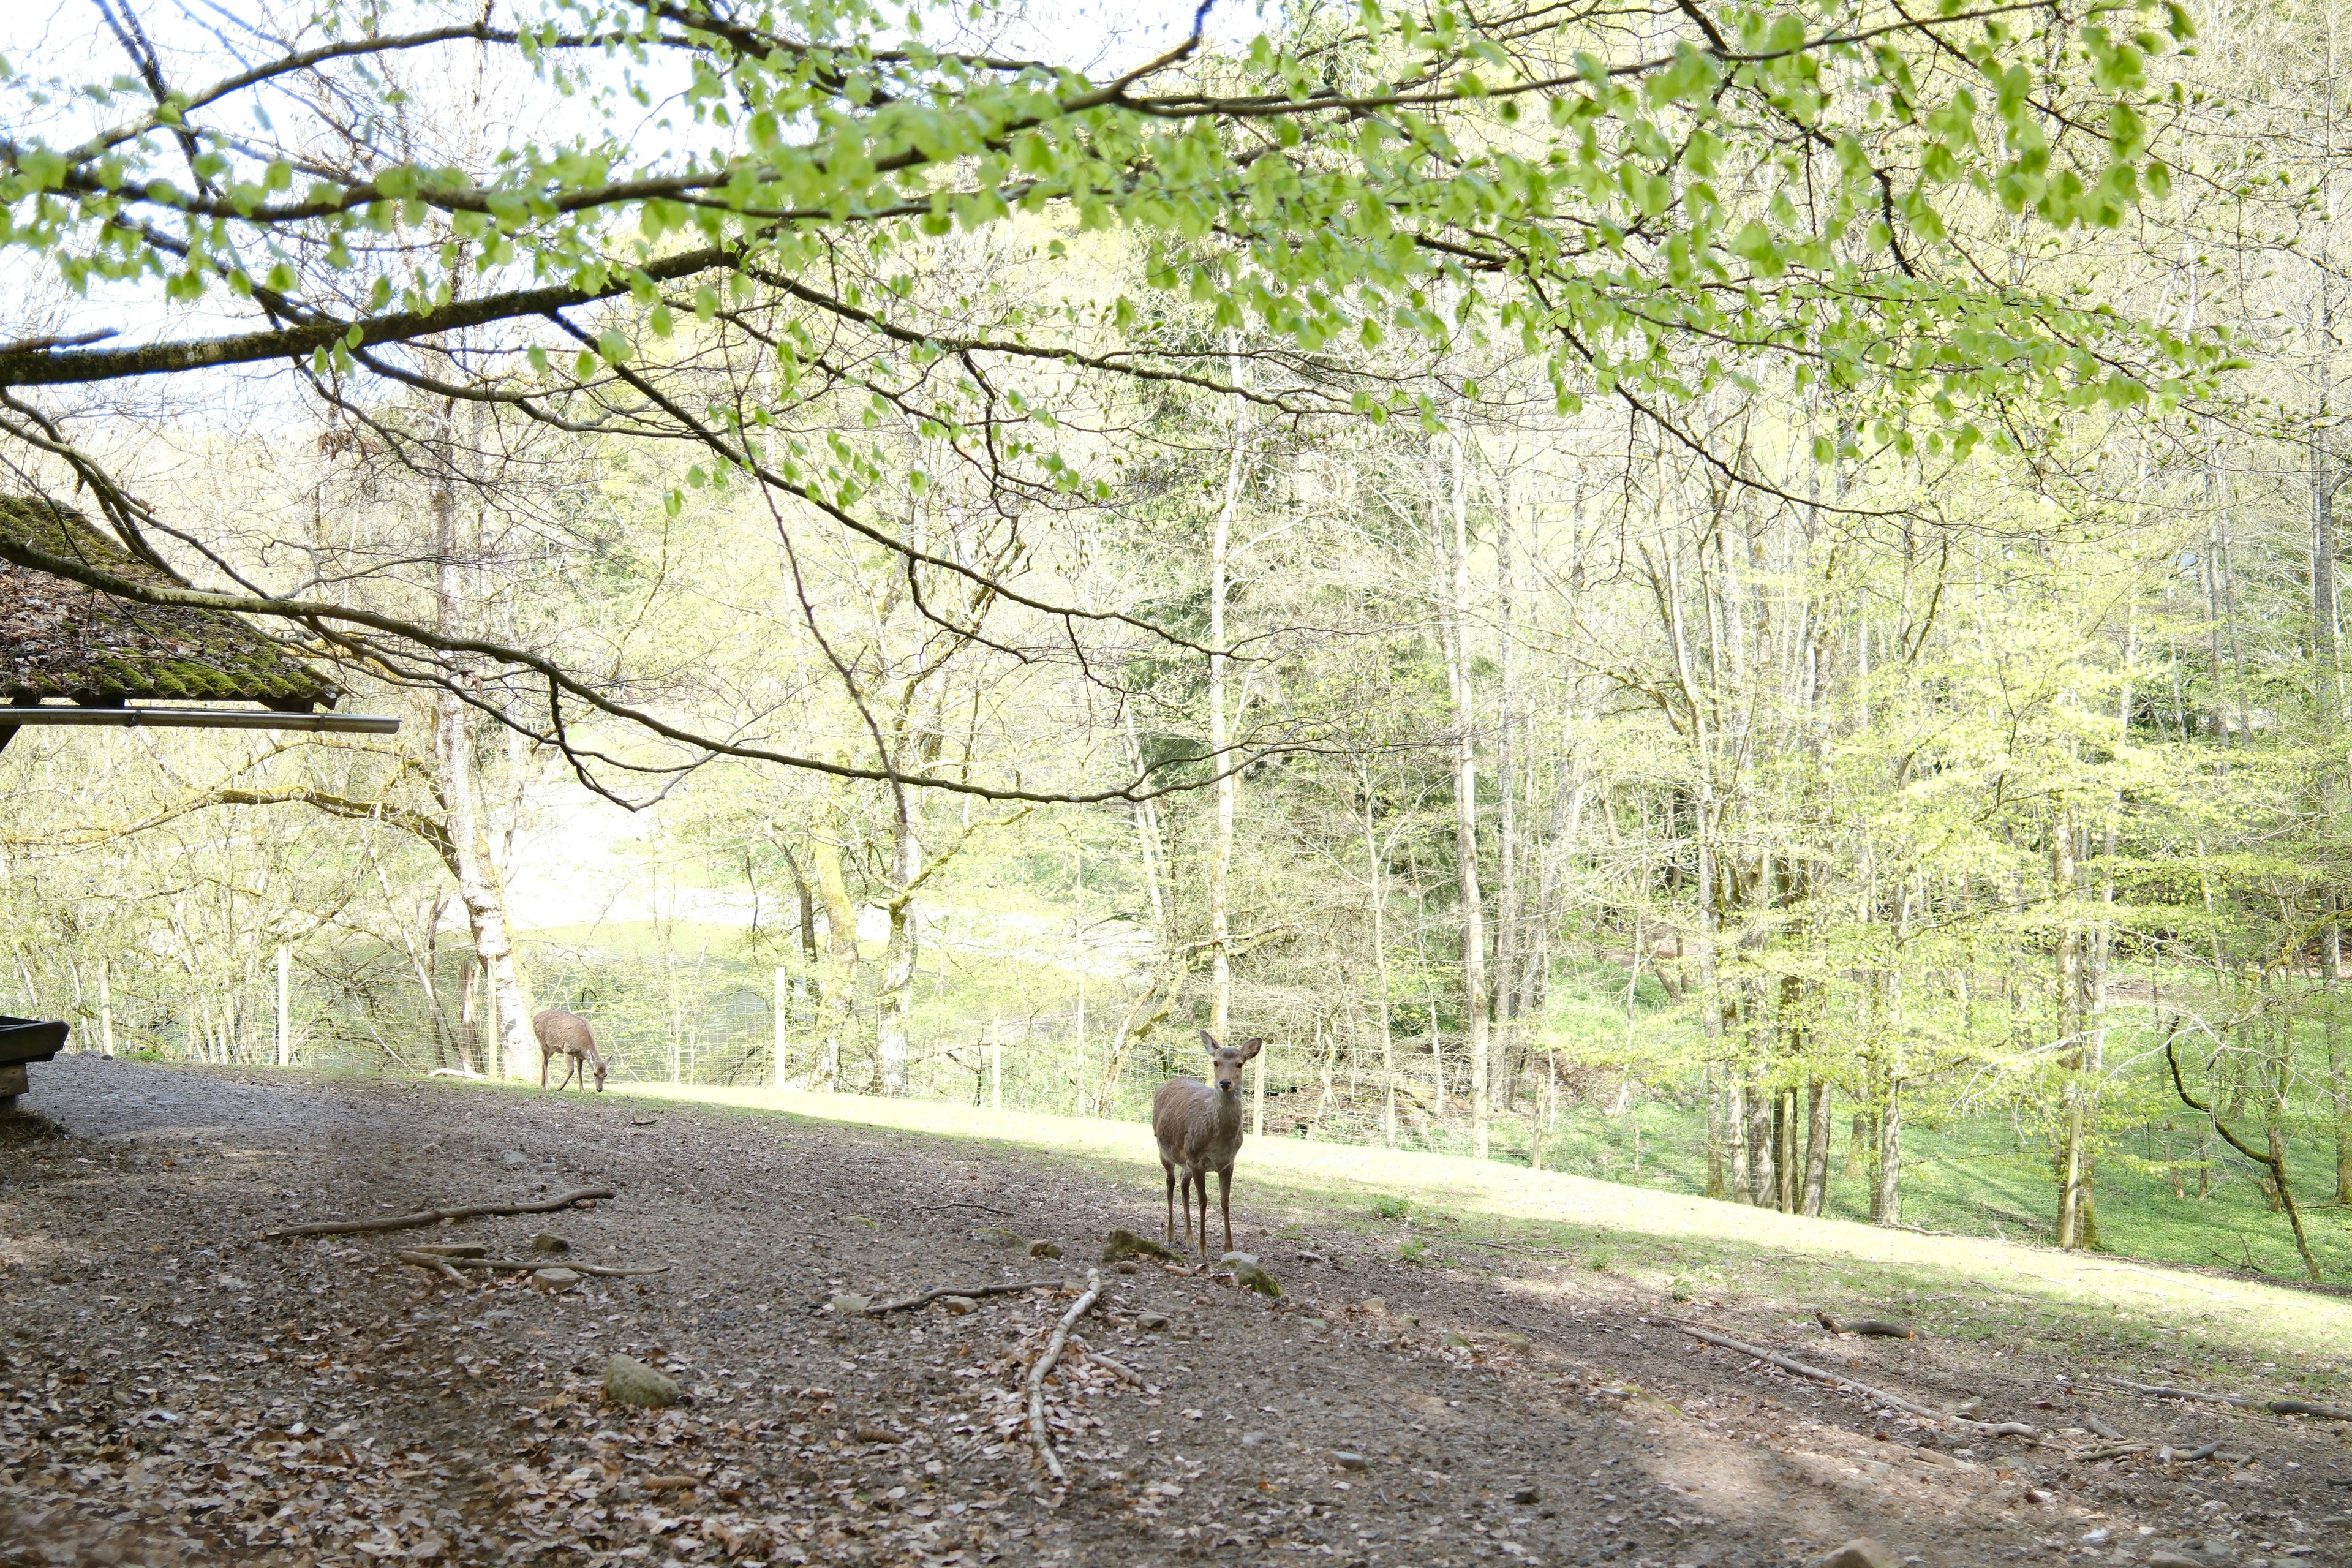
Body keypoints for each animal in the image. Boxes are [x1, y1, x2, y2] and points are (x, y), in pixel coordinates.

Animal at [534, 1009, 608, 1092]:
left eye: (606, 1074)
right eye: (595, 1073)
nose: (600, 1089)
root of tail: (535, 1017)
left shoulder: (581, 1056)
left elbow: (580, 1070)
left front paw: (582, 1091)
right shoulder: (567, 1050)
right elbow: (572, 1070)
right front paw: (559, 1087)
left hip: (552, 1049)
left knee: (543, 1059)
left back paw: (543, 1085)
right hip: (542, 1042)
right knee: (545, 1062)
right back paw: (548, 1087)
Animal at [1152, 1031, 1264, 1259]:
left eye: (1240, 1064)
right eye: (1215, 1062)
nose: (1225, 1083)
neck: (1219, 1143)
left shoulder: (1228, 1163)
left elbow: (1225, 1201)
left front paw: (1229, 1248)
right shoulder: (1197, 1159)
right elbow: (1203, 1201)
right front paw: (1204, 1250)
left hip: (1185, 1160)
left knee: (1184, 1186)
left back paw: (1189, 1240)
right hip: (1164, 1150)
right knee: (1170, 1184)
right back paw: (1171, 1238)